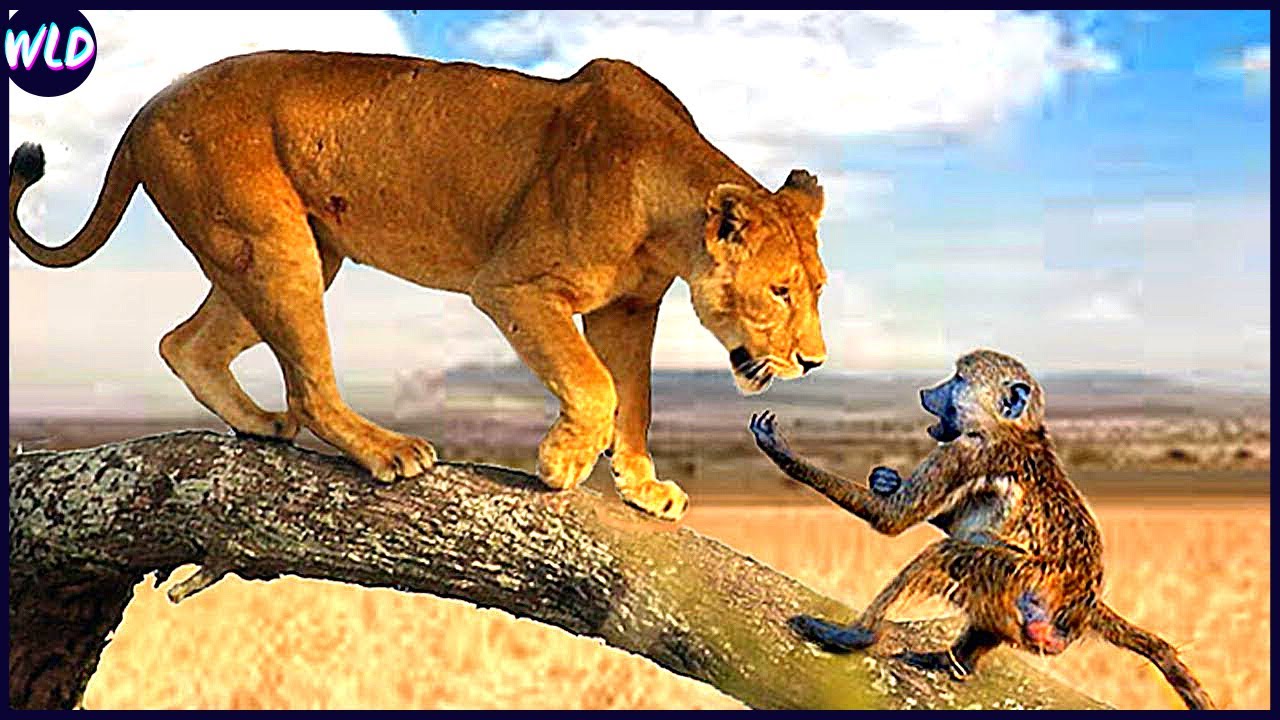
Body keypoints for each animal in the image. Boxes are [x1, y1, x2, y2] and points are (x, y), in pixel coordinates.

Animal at [748, 349, 1214, 710]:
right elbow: (947, 517)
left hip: (1022, 583)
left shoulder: (967, 450)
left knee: (952, 553)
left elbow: (894, 520)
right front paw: (886, 480)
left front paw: (780, 450)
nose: (926, 391)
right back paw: (955, 662)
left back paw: (853, 636)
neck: (1012, 429)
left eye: (957, 379)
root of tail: (1083, 602)